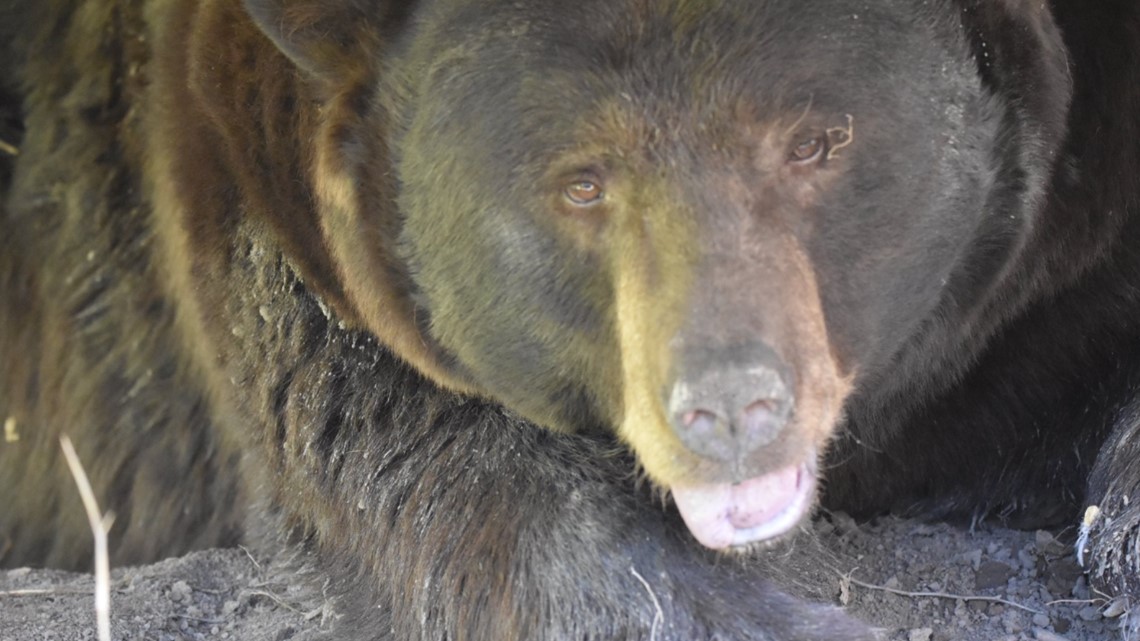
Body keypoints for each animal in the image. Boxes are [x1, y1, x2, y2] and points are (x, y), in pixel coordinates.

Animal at [2, 0, 1140, 638]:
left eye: (817, 140)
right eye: (581, 183)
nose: (733, 403)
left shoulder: (1055, 264)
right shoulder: (258, 181)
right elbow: (400, 434)